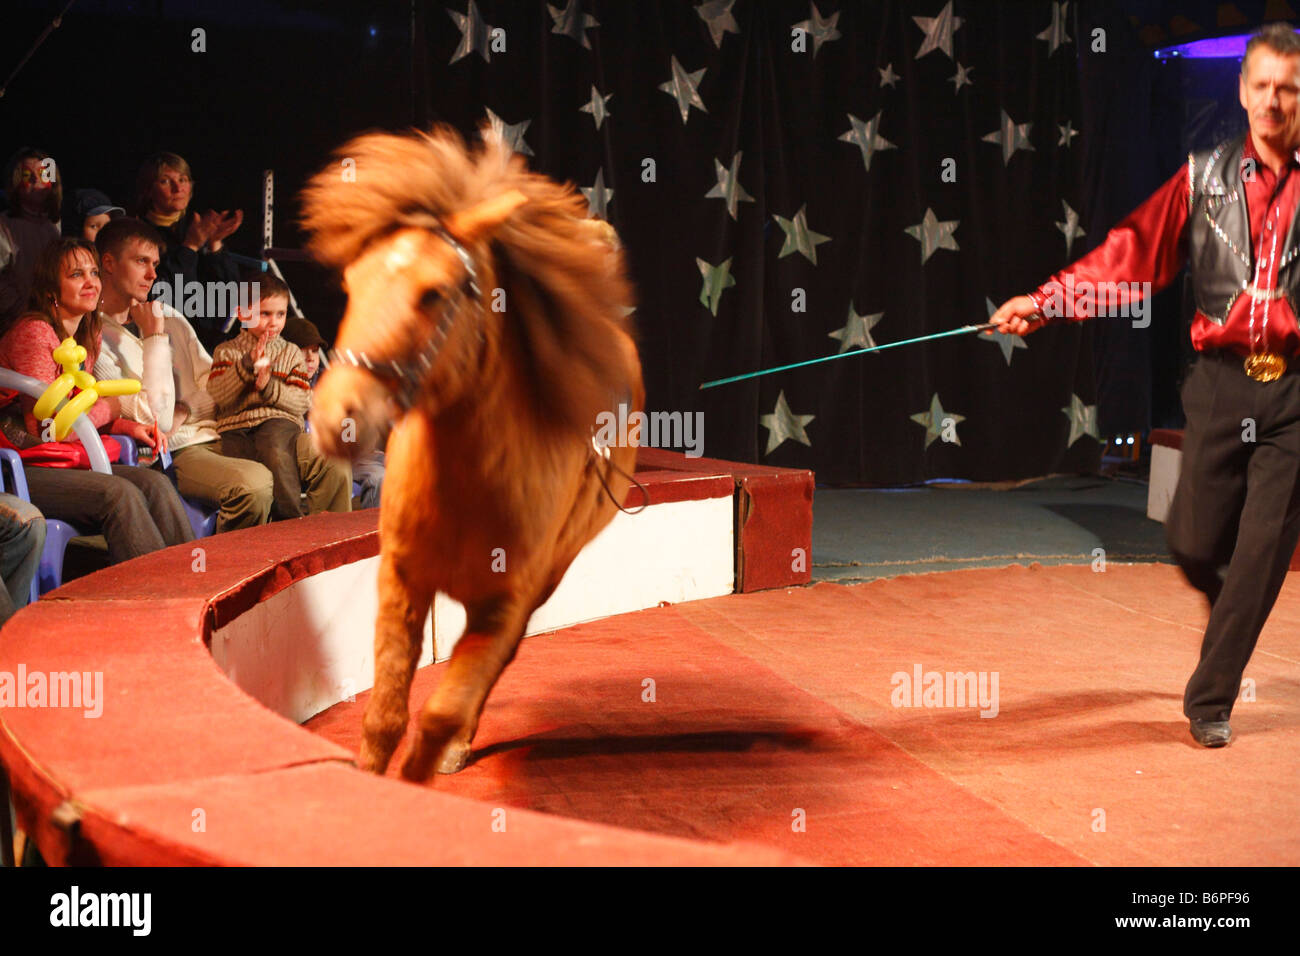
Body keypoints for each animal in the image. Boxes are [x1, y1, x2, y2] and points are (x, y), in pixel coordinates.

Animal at [300, 126, 644, 781]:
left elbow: (438, 714)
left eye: (434, 294)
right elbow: (384, 717)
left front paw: (433, 761)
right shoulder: (401, 579)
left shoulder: (506, 602)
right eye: (354, 283)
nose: (336, 418)